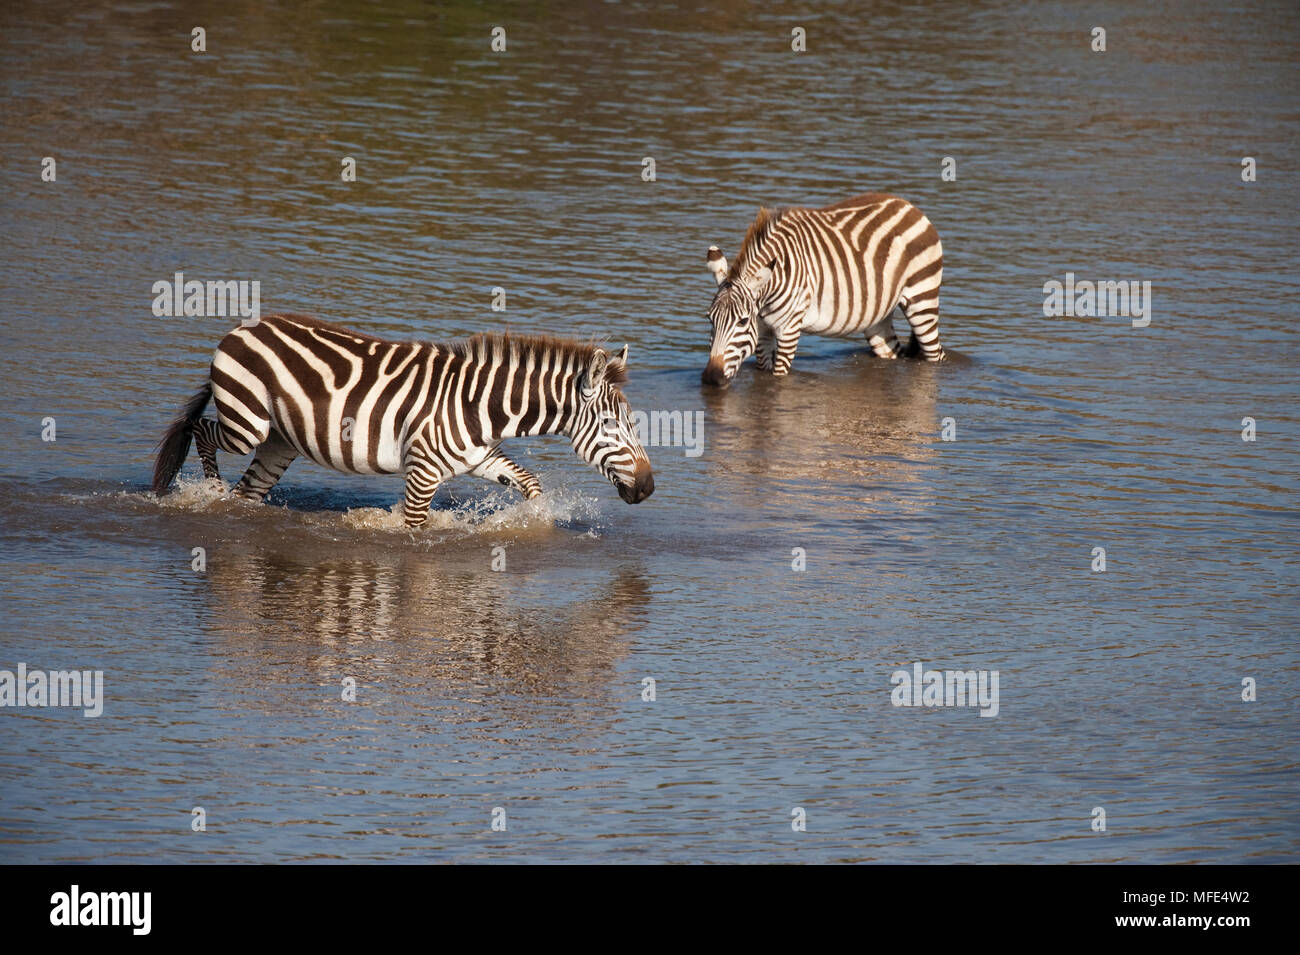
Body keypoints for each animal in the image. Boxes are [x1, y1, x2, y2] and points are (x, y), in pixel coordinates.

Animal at [151, 312, 655, 526]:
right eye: (612, 426)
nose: (649, 488)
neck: (480, 405)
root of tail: (242, 327)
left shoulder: (478, 458)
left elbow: (530, 484)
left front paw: (528, 522)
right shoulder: (423, 471)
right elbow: (414, 529)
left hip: (279, 441)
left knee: (249, 489)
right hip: (246, 422)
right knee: (201, 431)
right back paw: (210, 493)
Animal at [702, 193, 946, 386]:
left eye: (742, 321)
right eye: (710, 319)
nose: (712, 378)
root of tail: (908, 206)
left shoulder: (790, 328)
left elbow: (779, 376)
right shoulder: (762, 330)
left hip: (922, 299)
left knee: (936, 355)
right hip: (878, 317)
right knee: (891, 352)